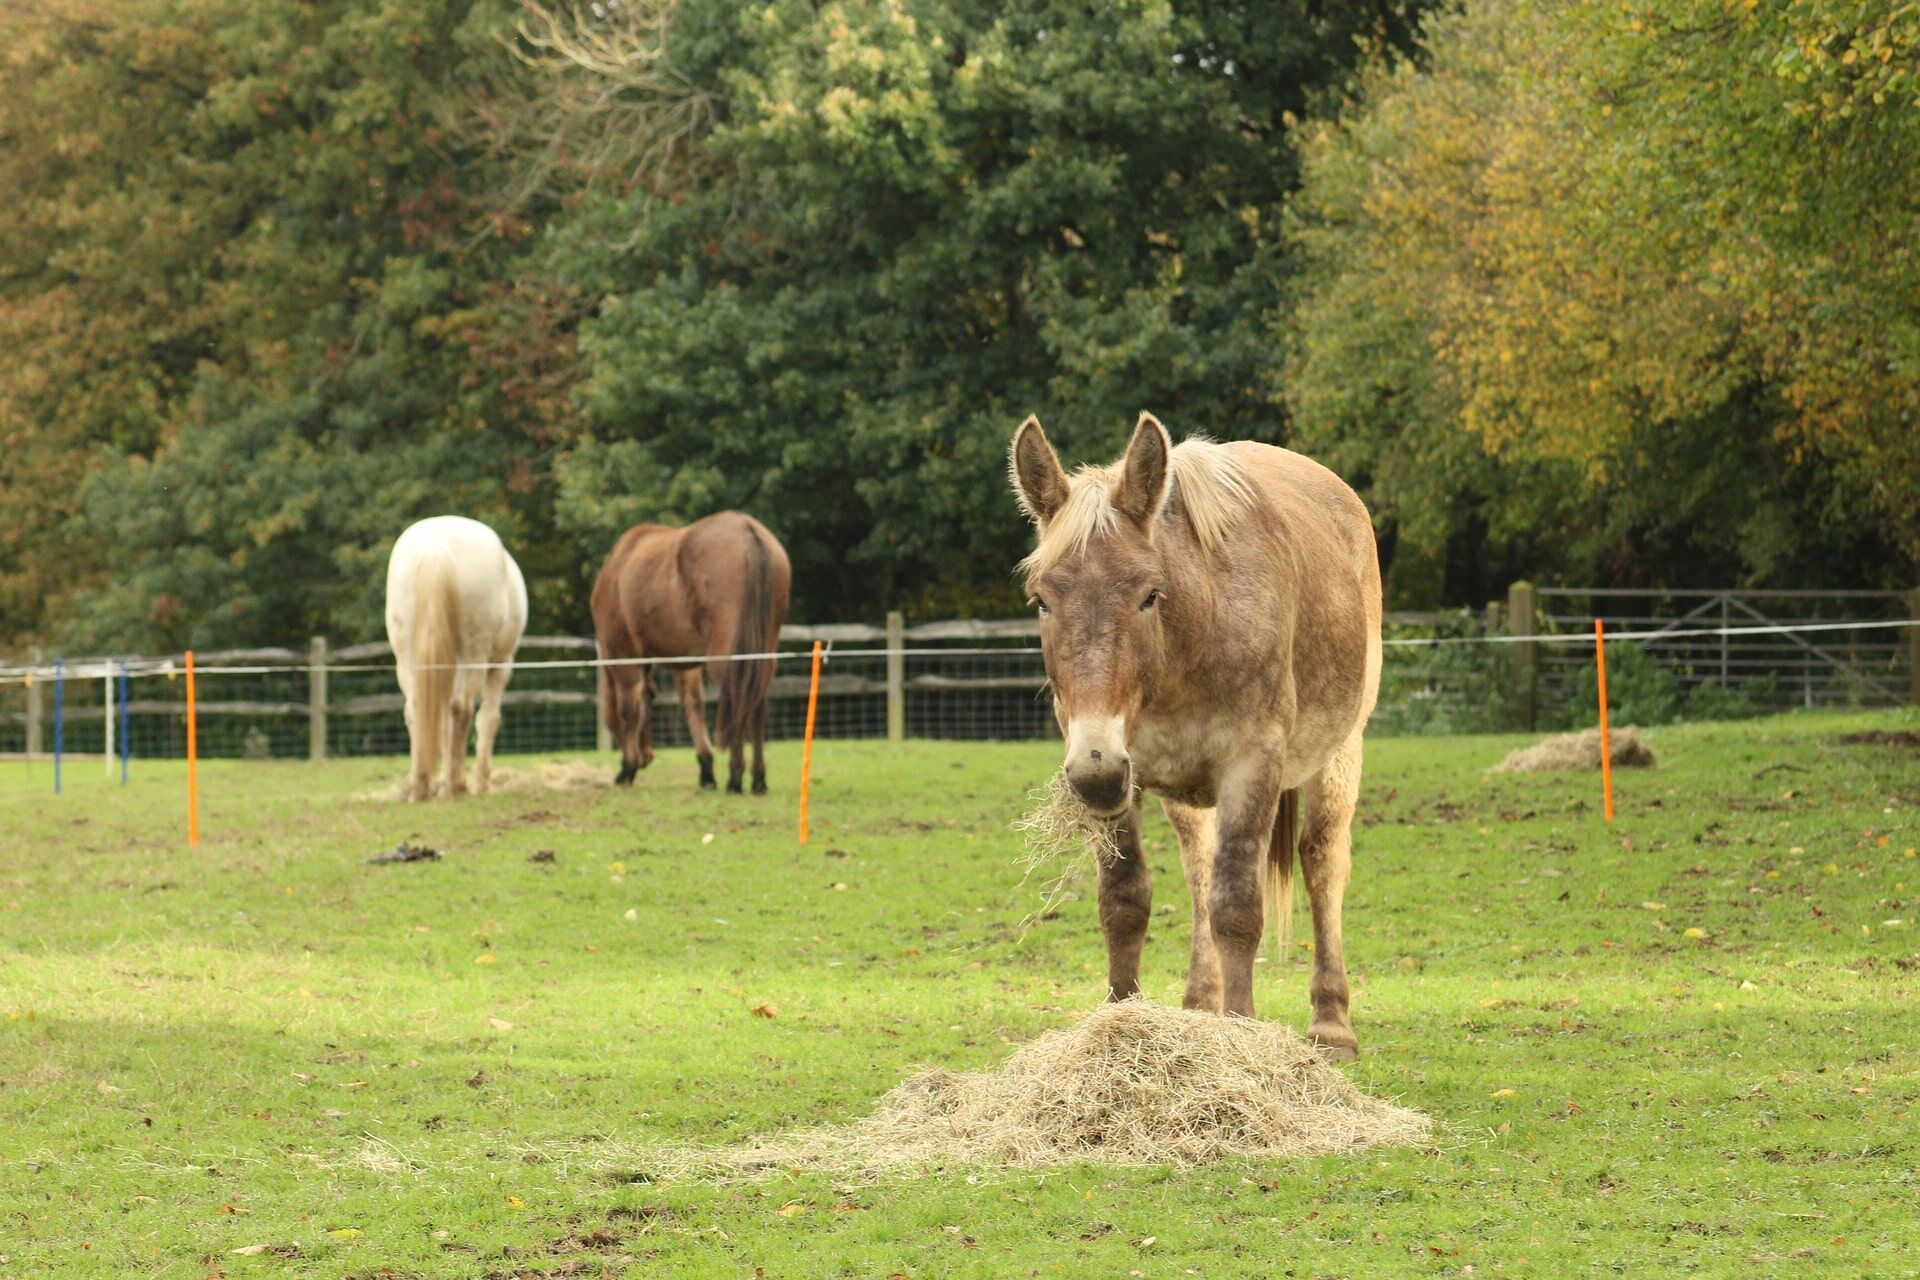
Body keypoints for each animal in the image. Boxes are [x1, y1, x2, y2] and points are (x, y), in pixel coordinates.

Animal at [384, 515, 529, 803]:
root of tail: (435, 547)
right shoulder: (500, 665)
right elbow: (488, 720)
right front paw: (480, 783)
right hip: (475, 654)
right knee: (461, 708)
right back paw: (456, 785)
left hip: (408, 659)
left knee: (417, 710)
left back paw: (421, 787)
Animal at [590, 512, 791, 794]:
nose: (645, 757)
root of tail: (748, 531)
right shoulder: (684, 662)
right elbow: (693, 707)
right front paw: (706, 770)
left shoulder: (623, 655)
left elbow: (629, 710)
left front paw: (626, 769)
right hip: (764, 655)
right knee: (757, 707)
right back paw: (758, 779)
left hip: (727, 658)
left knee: (738, 698)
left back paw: (736, 776)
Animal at [1008, 412, 1382, 1060]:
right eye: (1042, 600)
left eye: (1149, 595)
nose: (1096, 773)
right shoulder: (1121, 769)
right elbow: (1125, 900)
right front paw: (1121, 1024)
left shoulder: (1252, 763)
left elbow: (1237, 905)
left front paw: (1242, 1035)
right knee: (1199, 869)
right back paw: (1201, 1002)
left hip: (1341, 749)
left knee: (1322, 862)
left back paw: (1331, 1024)